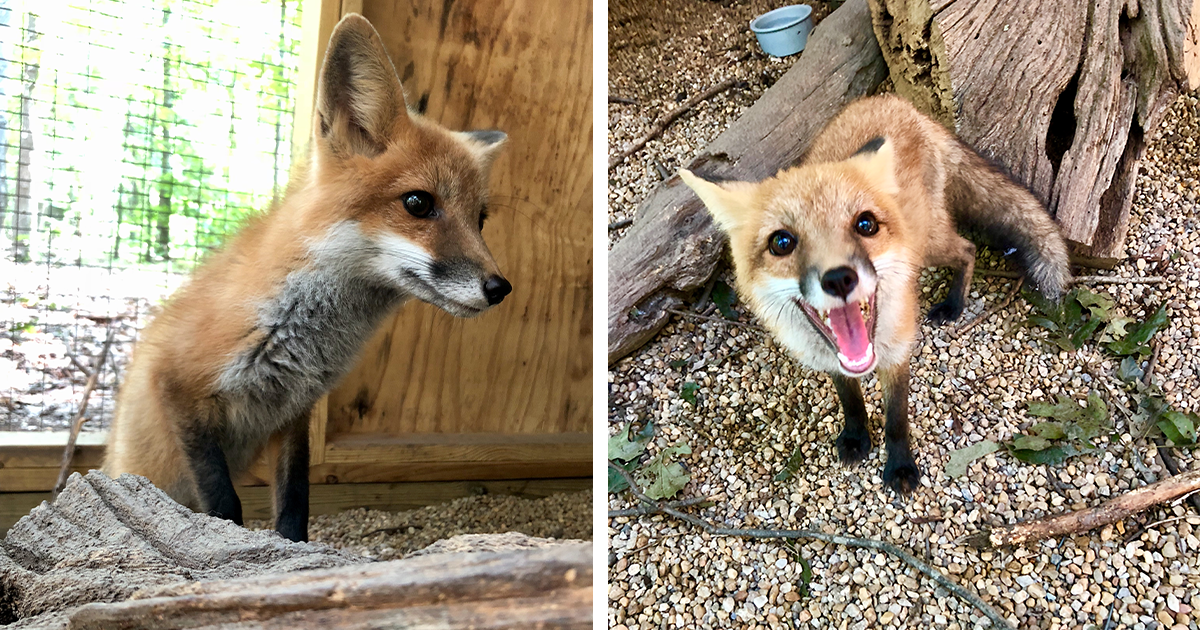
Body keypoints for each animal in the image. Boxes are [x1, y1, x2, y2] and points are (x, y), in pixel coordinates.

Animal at [102, 14, 511, 542]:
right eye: (418, 203)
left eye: (480, 220)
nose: (500, 288)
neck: (296, 333)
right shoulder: (177, 385)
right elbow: (223, 502)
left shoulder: (295, 413)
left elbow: (296, 500)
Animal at [679, 94, 1070, 494]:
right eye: (782, 243)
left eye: (865, 224)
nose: (839, 279)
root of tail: (894, 101)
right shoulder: (832, 361)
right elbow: (850, 400)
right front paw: (856, 437)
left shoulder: (898, 353)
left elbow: (896, 418)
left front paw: (900, 466)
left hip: (929, 243)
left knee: (968, 249)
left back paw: (953, 304)